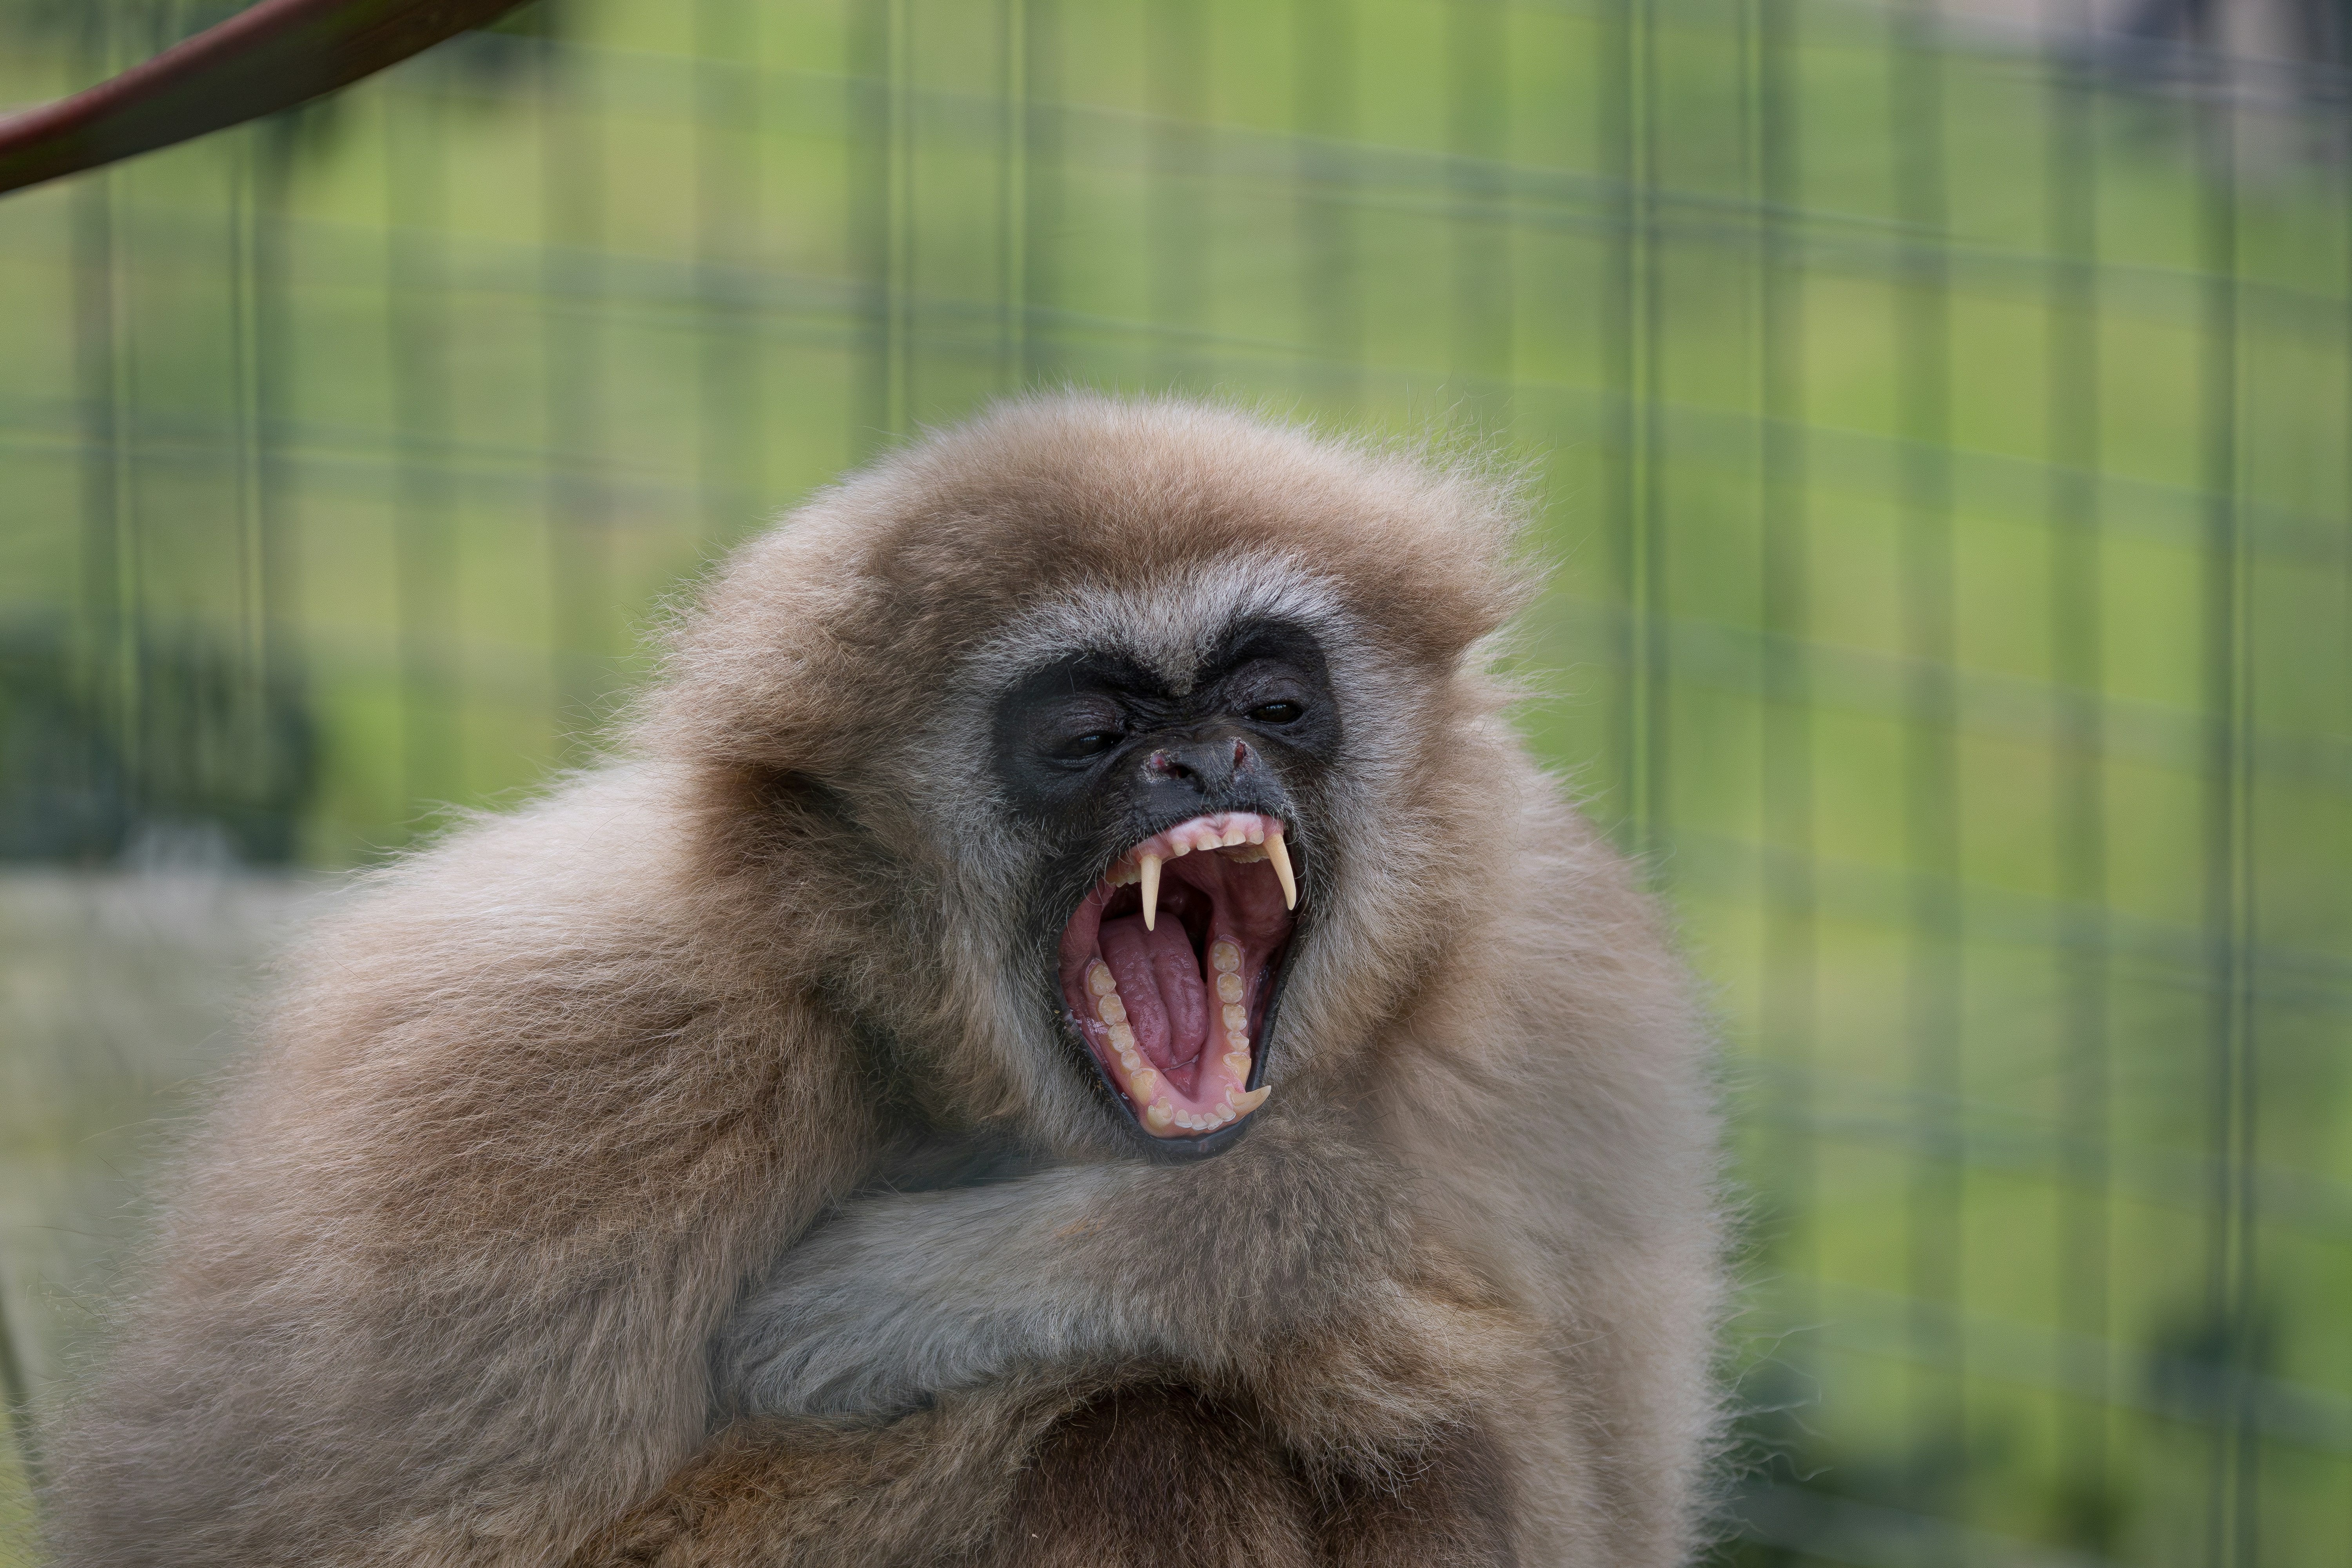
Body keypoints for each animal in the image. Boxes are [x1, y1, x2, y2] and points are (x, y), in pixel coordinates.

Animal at [43, 394, 1726, 1567]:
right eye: (1087, 733)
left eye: (1271, 702)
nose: (1203, 758)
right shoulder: (569, 1045)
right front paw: (1263, 1258)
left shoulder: (1557, 975)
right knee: (1148, 1421)